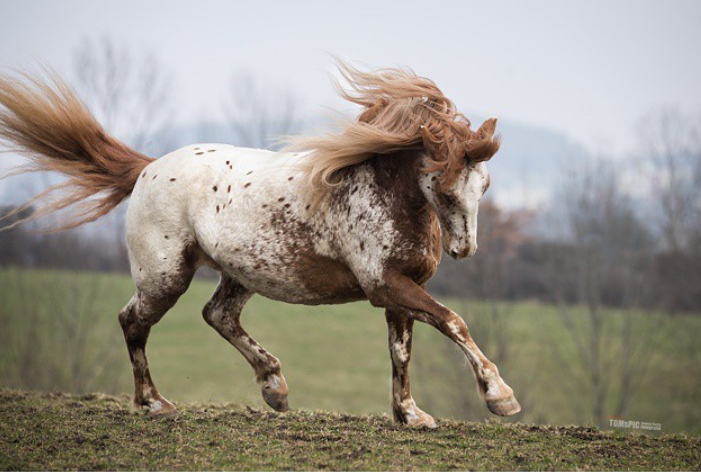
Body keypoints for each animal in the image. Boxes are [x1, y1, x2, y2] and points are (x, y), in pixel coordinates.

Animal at [0, 63, 520, 427]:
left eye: (485, 186)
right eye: (447, 190)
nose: (463, 250)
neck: (381, 189)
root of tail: (147, 168)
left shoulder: (401, 290)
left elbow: (402, 352)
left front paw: (411, 415)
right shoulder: (385, 285)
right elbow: (453, 322)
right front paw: (500, 396)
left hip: (241, 272)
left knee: (218, 316)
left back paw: (275, 387)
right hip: (164, 275)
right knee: (133, 321)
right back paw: (154, 403)